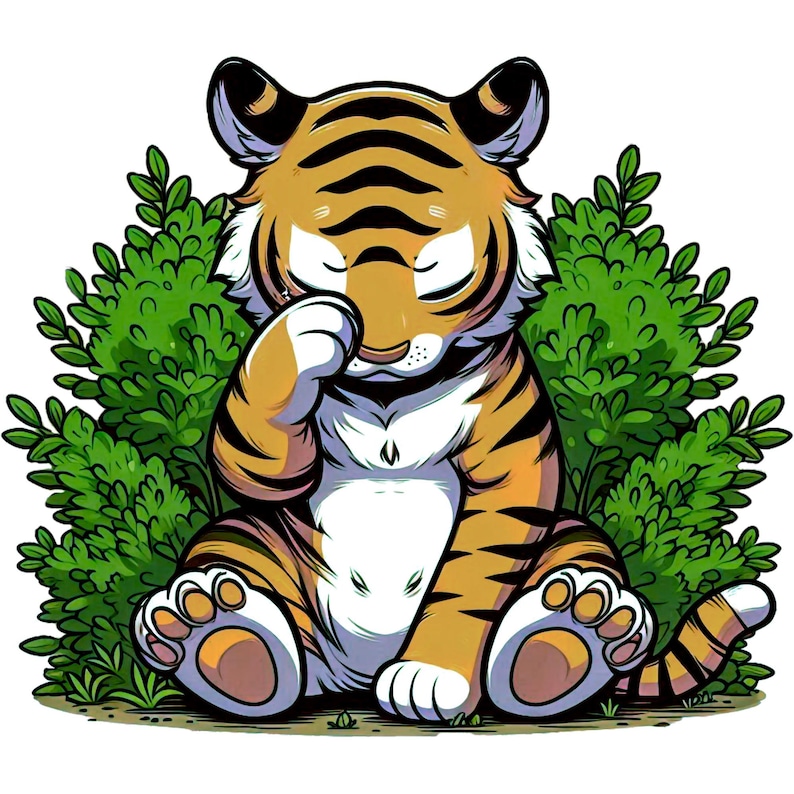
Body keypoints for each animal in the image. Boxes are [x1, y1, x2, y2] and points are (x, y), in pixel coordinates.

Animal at [132, 56, 774, 722]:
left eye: (432, 266)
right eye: (330, 263)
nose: (378, 350)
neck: (386, 395)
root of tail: (349, 679)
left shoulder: (512, 467)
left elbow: (472, 577)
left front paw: (428, 677)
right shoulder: (269, 469)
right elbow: (259, 463)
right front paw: (305, 332)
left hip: (574, 536)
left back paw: (570, 634)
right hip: (244, 538)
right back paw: (221, 636)